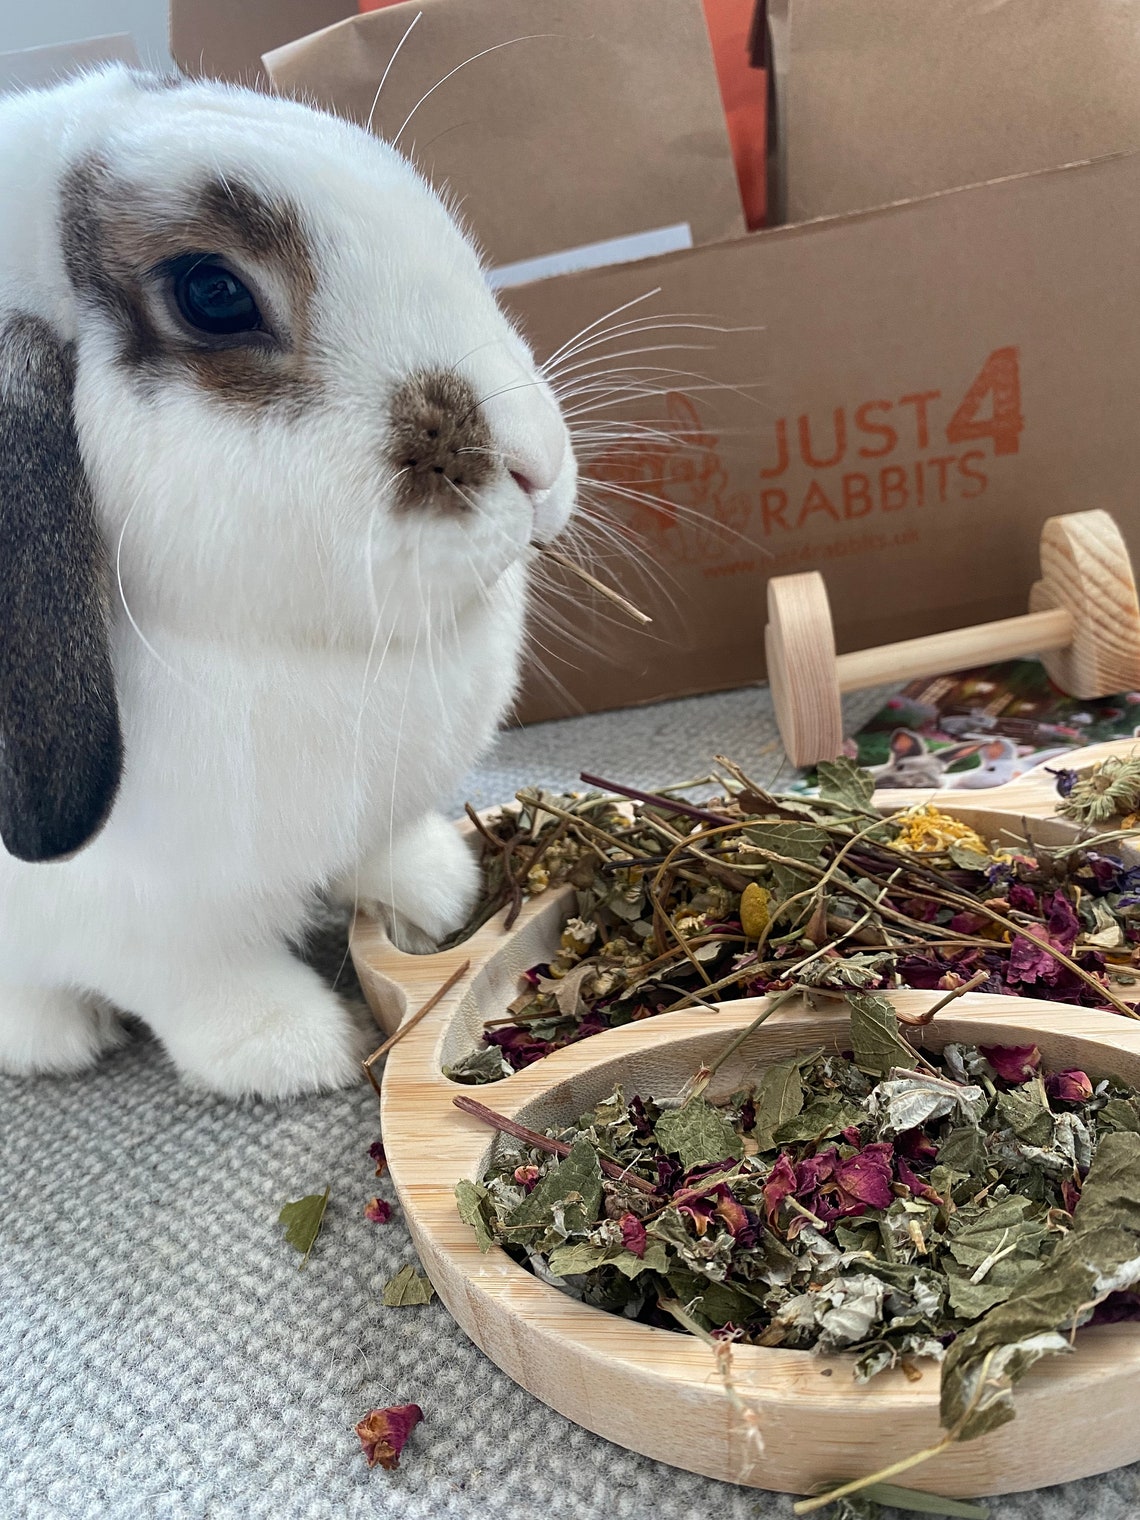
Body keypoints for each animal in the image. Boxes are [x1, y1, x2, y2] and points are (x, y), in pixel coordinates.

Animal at [0, 66, 577, 1099]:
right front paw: (297, 1050)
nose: (539, 467)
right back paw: (49, 1034)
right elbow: (202, 982)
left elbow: (386, 851)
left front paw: (443, 893)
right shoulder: (146, 925)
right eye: (212, 293)